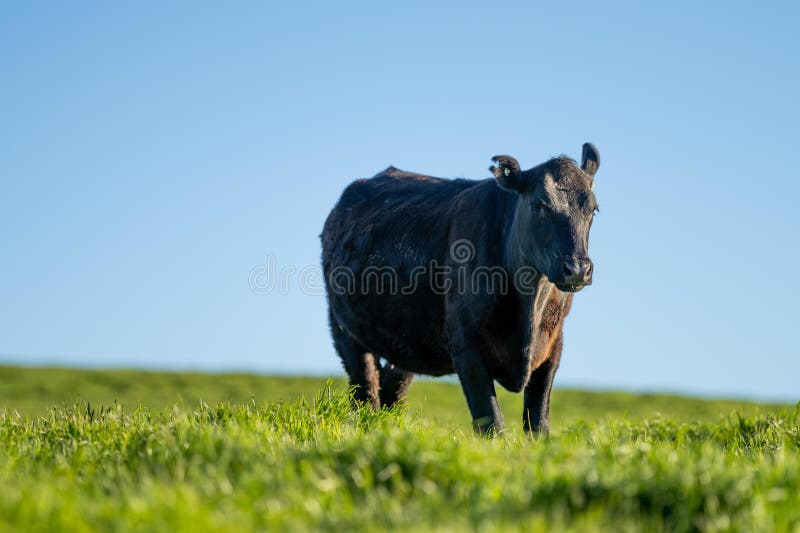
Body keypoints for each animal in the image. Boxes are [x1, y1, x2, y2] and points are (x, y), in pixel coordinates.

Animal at [320, 143, 600, 435]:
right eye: (539, 204)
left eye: (593, 210)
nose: (577, 268)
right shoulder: (465, 346)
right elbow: (491, 420)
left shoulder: (552, 348)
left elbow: (538, 421)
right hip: (343, 328)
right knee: (365, 390)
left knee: (392, 390)